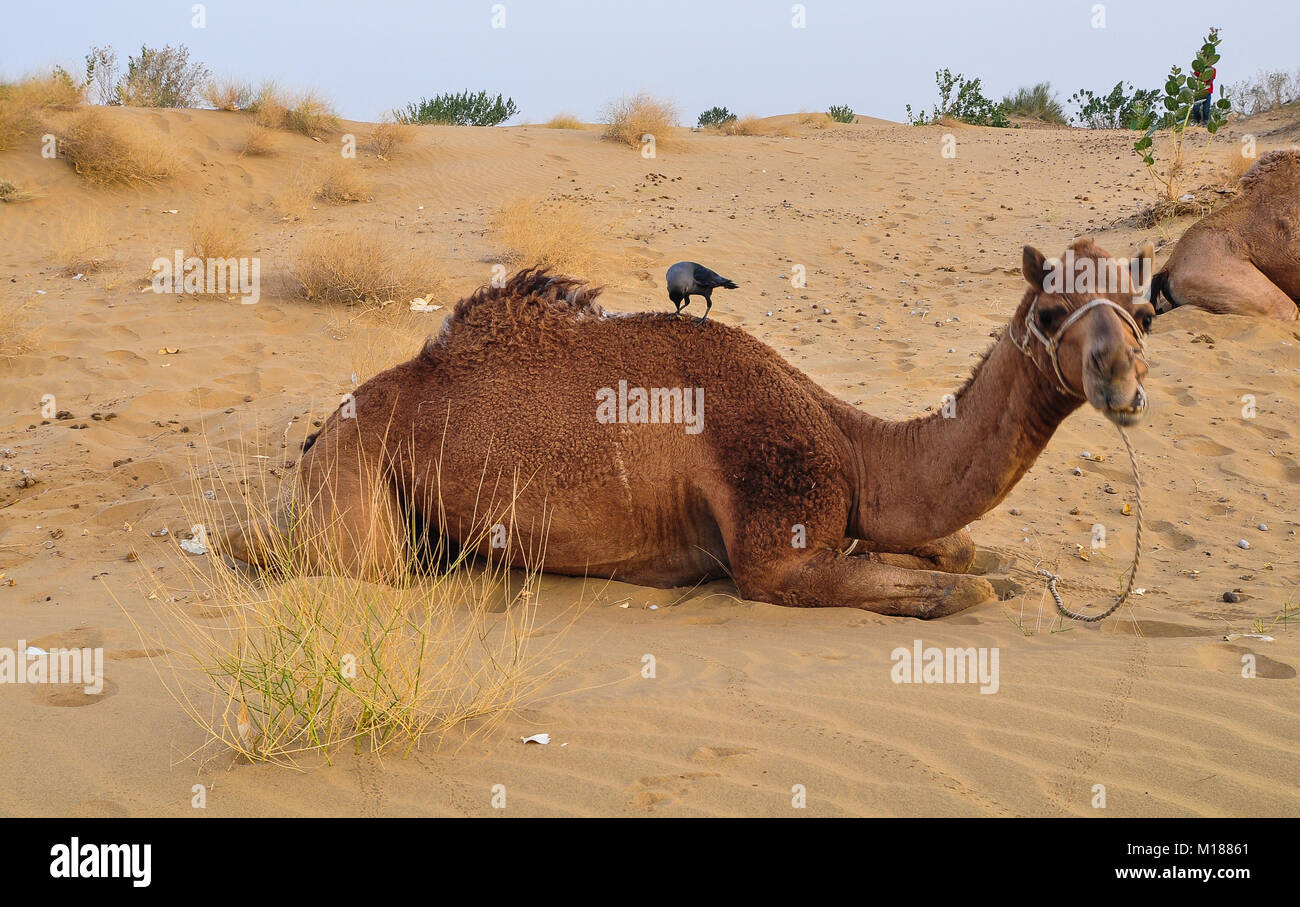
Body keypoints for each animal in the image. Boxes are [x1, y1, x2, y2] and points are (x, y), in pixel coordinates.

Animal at [220, 238, 1154, 619]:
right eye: (1052, 311)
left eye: (1145, 311)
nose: (1123, 380)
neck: (854, 444)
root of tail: (320, 432)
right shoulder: (774, 554)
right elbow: (964, 586)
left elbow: (962, 553)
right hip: (357, 501)